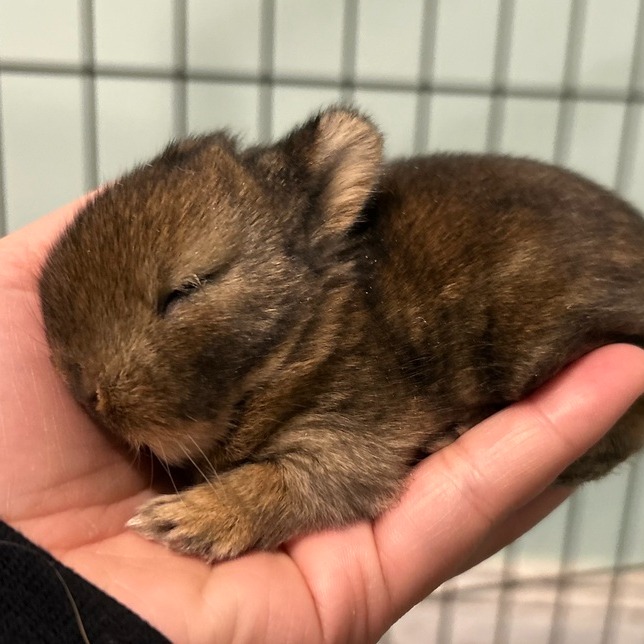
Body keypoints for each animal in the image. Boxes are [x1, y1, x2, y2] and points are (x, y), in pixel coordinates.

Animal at [38, 106, 644, 561]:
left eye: (189, 287)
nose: (88, 395)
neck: (304, 335)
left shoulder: (354, 430)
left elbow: (284, 483)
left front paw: (181, 520)